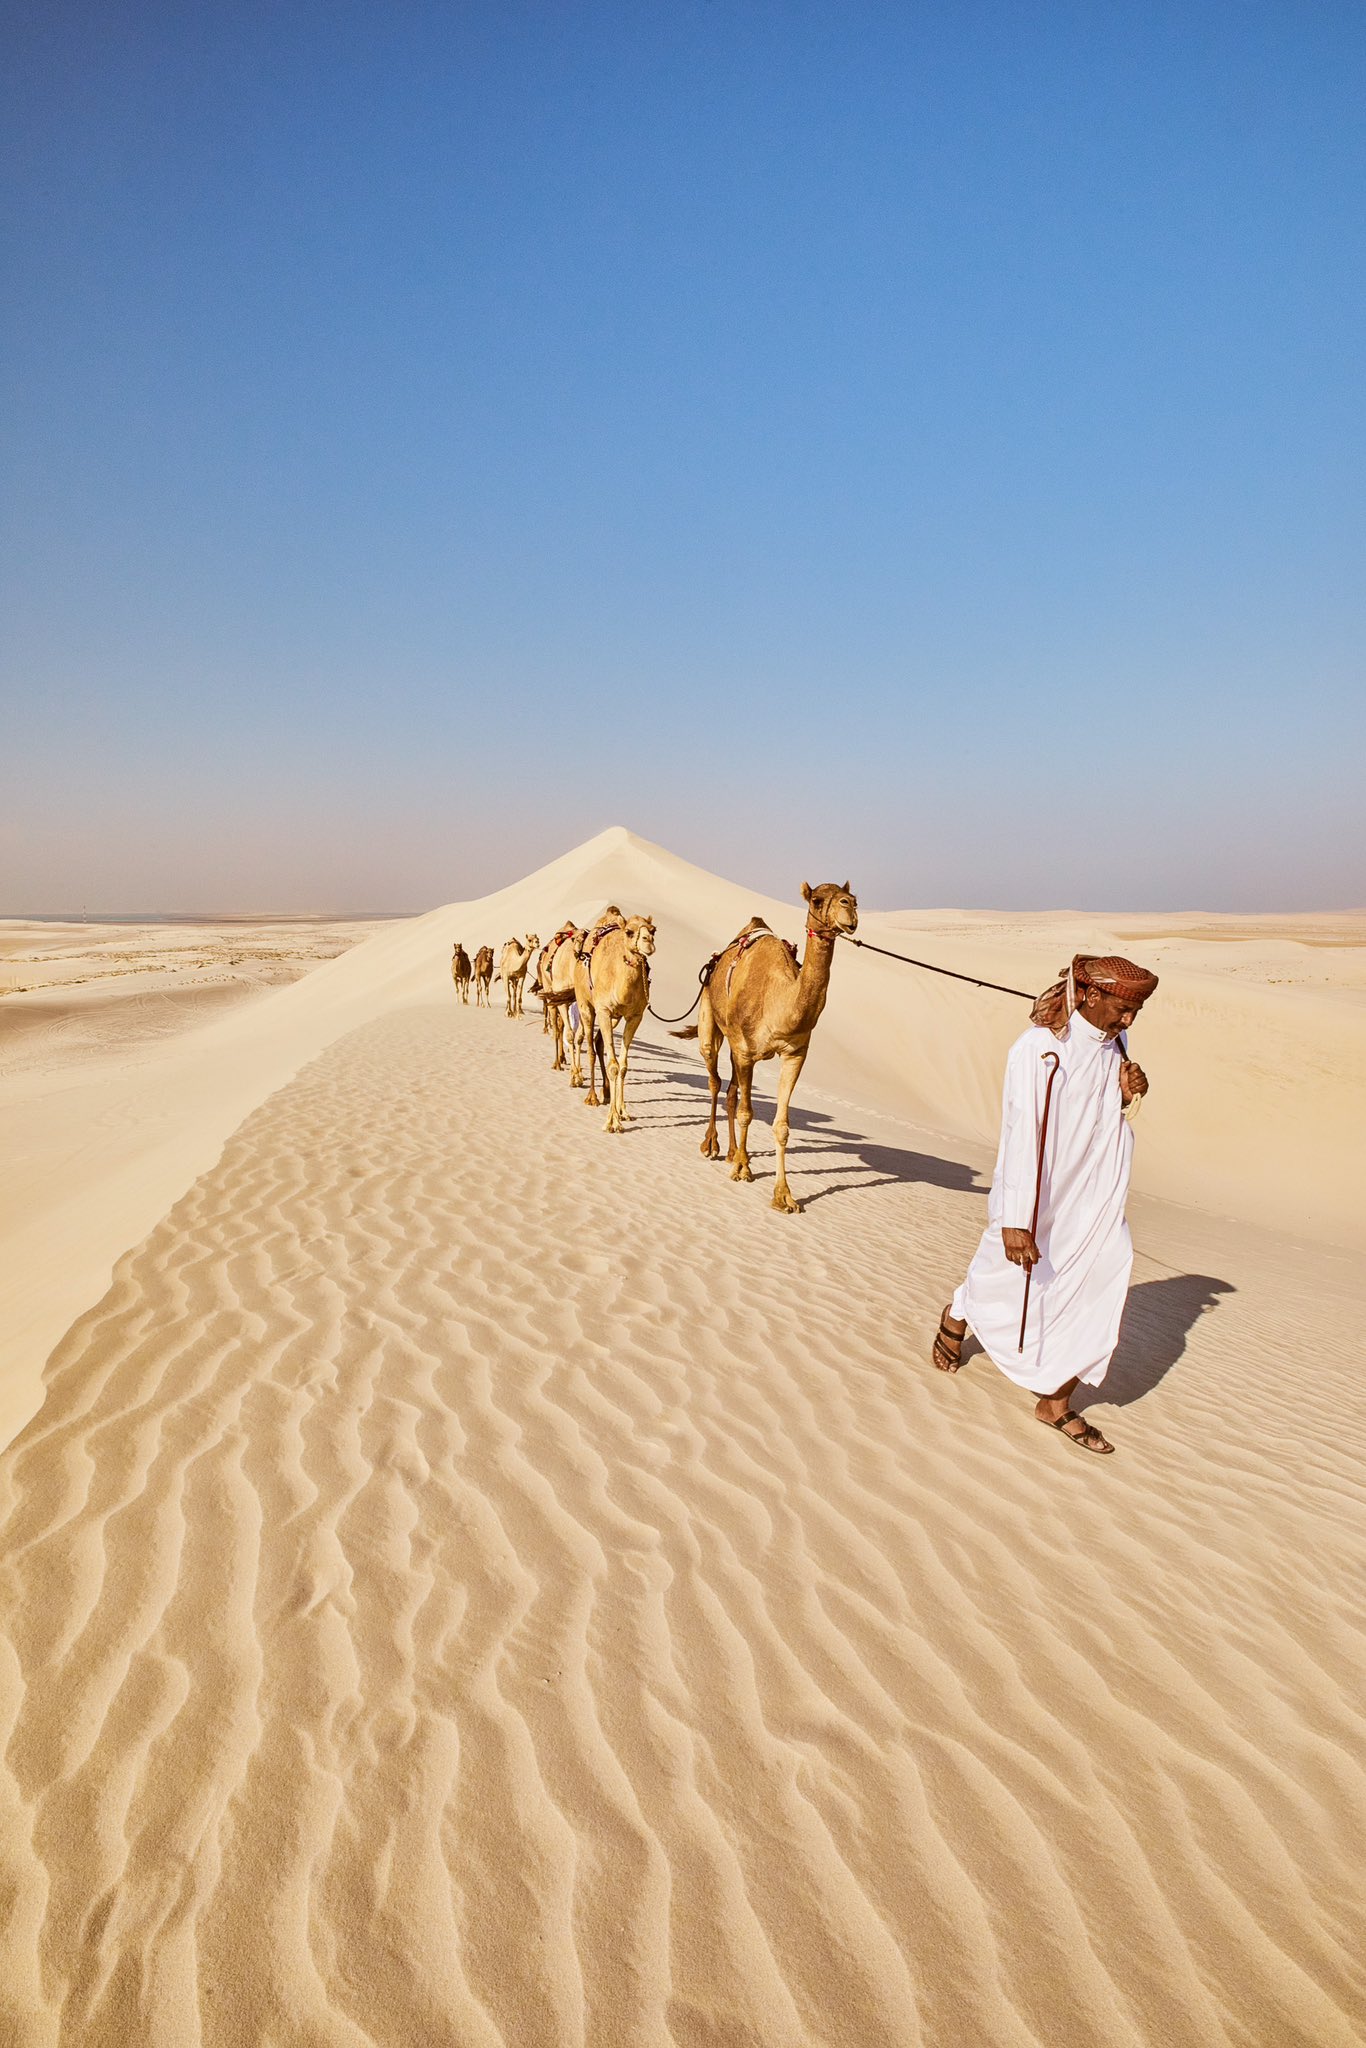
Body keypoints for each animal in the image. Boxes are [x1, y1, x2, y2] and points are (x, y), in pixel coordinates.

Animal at [572, 908, 656, 1132]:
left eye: (653, 929)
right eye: (629, 932)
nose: (648, 941)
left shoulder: (635, 1016)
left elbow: (623, 1066)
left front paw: (622, 1112)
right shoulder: (603, 1010)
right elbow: (613, 1066)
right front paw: (612, 1122)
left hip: (614, 1019)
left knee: (598, 1042)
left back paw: (607, 1093)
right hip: (585, 1005)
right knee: (589, 1047)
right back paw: (592, 1096)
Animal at [676, 882, 857, 1212]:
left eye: (853, 898)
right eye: (817, 900)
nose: (849, 908)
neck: (778, 1000)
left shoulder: (795, 1054)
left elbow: (781, 1125)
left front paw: (784, 1195)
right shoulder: (746, 1051)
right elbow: (747, 1112)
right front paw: (744, 1169)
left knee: (731, 1093)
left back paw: (733, 1152)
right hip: (712, 1021)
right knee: (714, 1081)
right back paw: (712, 1145)